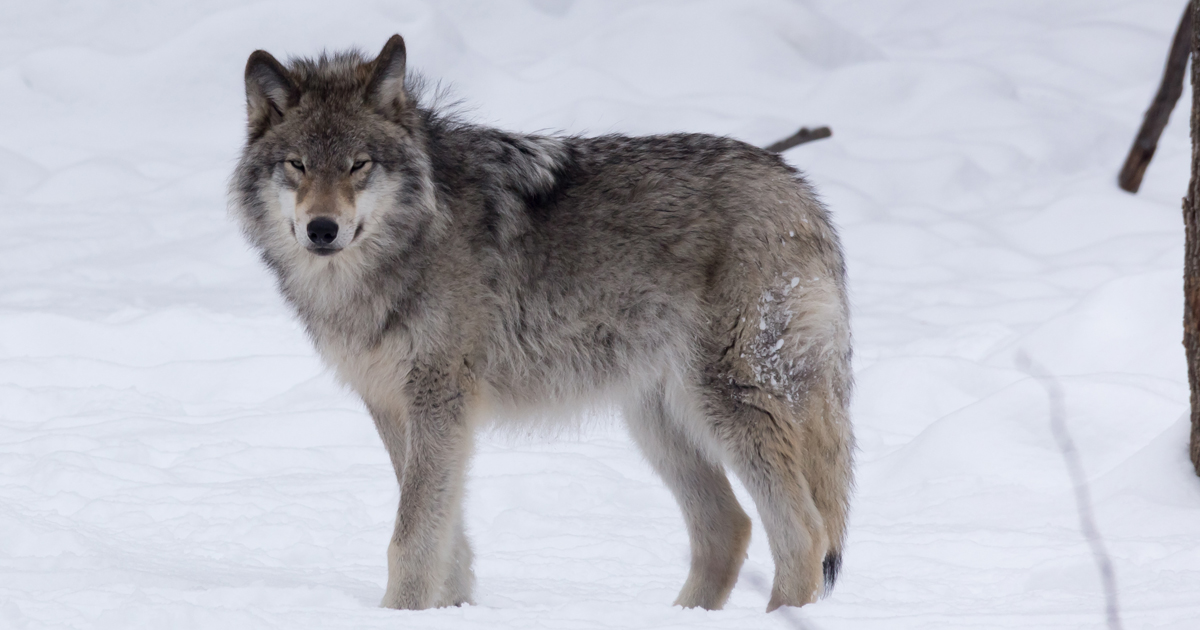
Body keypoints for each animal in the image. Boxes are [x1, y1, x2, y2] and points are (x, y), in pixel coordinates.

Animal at [230, 34, 854, 612]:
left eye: (359, 166)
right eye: (298, 166)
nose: (322, 229)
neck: (407, 243)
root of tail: (801, 190)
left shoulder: (439, 399)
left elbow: (411, 537)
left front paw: (401, 613)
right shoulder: (394, 406)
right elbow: (445, 535)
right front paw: (451, 609)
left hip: (731, 405)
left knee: (804, 536)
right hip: (657, 420)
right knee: (729, 528)